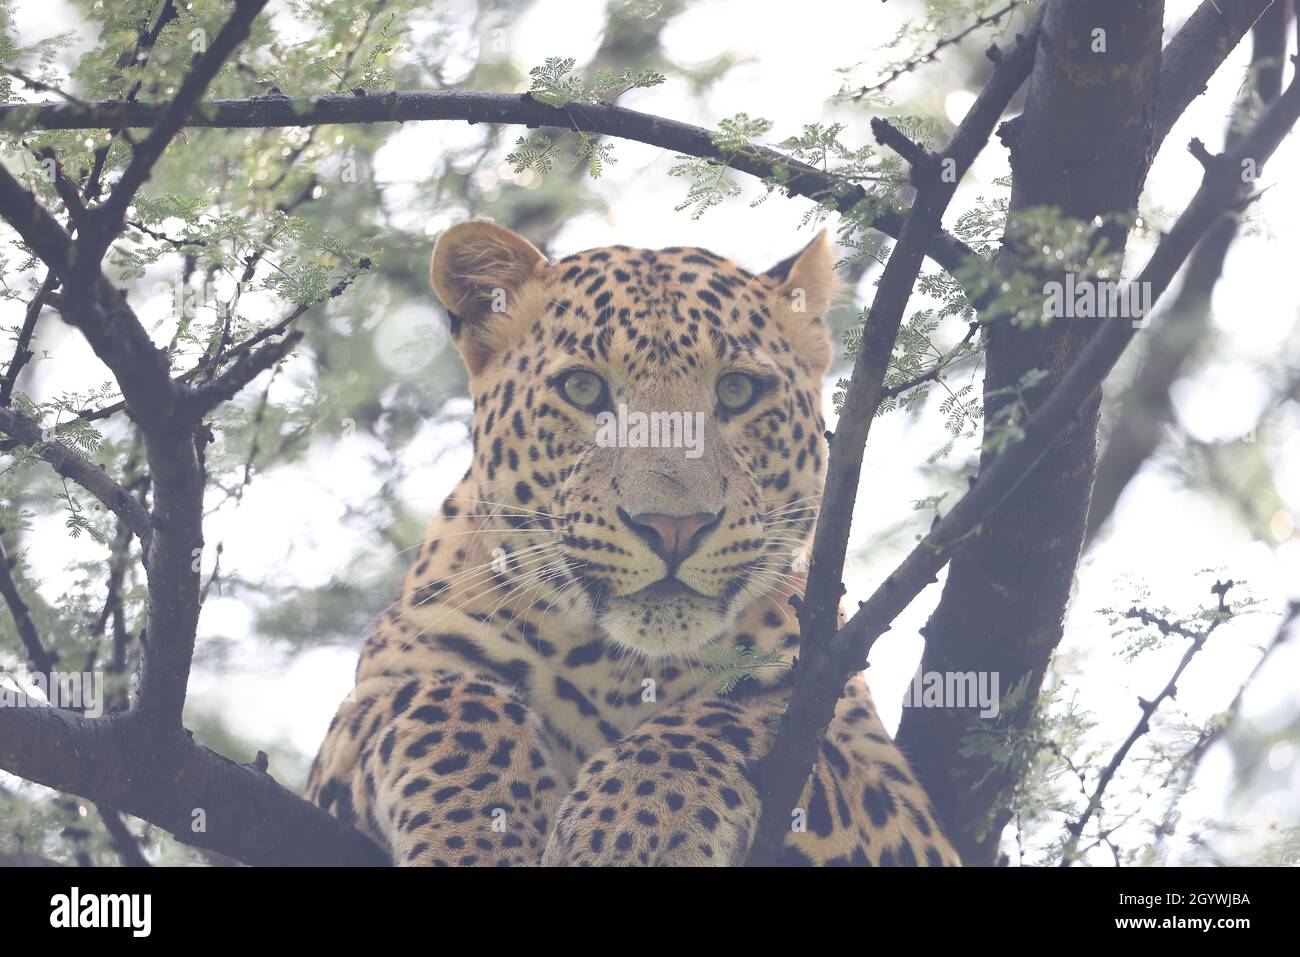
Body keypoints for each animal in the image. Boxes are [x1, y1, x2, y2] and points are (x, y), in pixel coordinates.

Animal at [306, 220, 961, 867]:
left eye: (737, 392)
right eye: (582, 387)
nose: (674, 528)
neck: (623, 671)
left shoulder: (909, 808)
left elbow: (731, 720)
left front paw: (630, 823)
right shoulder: (371, 700)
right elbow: (451, 704)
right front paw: (486, 843)